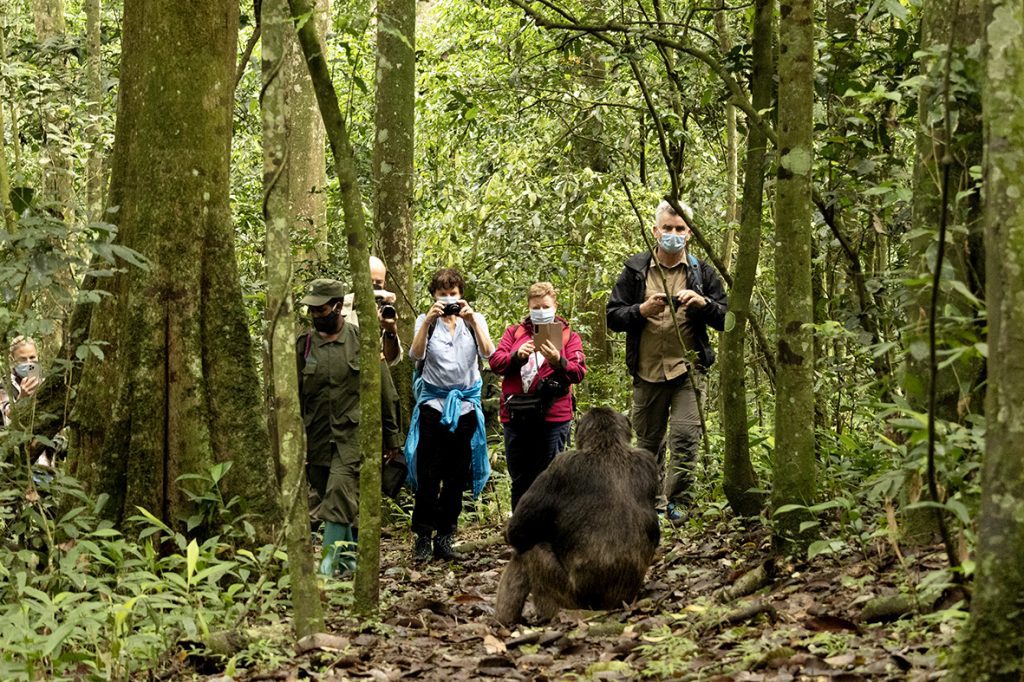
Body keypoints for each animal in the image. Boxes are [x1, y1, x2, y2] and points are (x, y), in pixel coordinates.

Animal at [495, 407, 661, 625]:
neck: (607, 446)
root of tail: (607, 607)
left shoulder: (559, 465)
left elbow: (517, 531)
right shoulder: (648, 461)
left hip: (569, 599)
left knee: (529, 551)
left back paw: (505, 620)